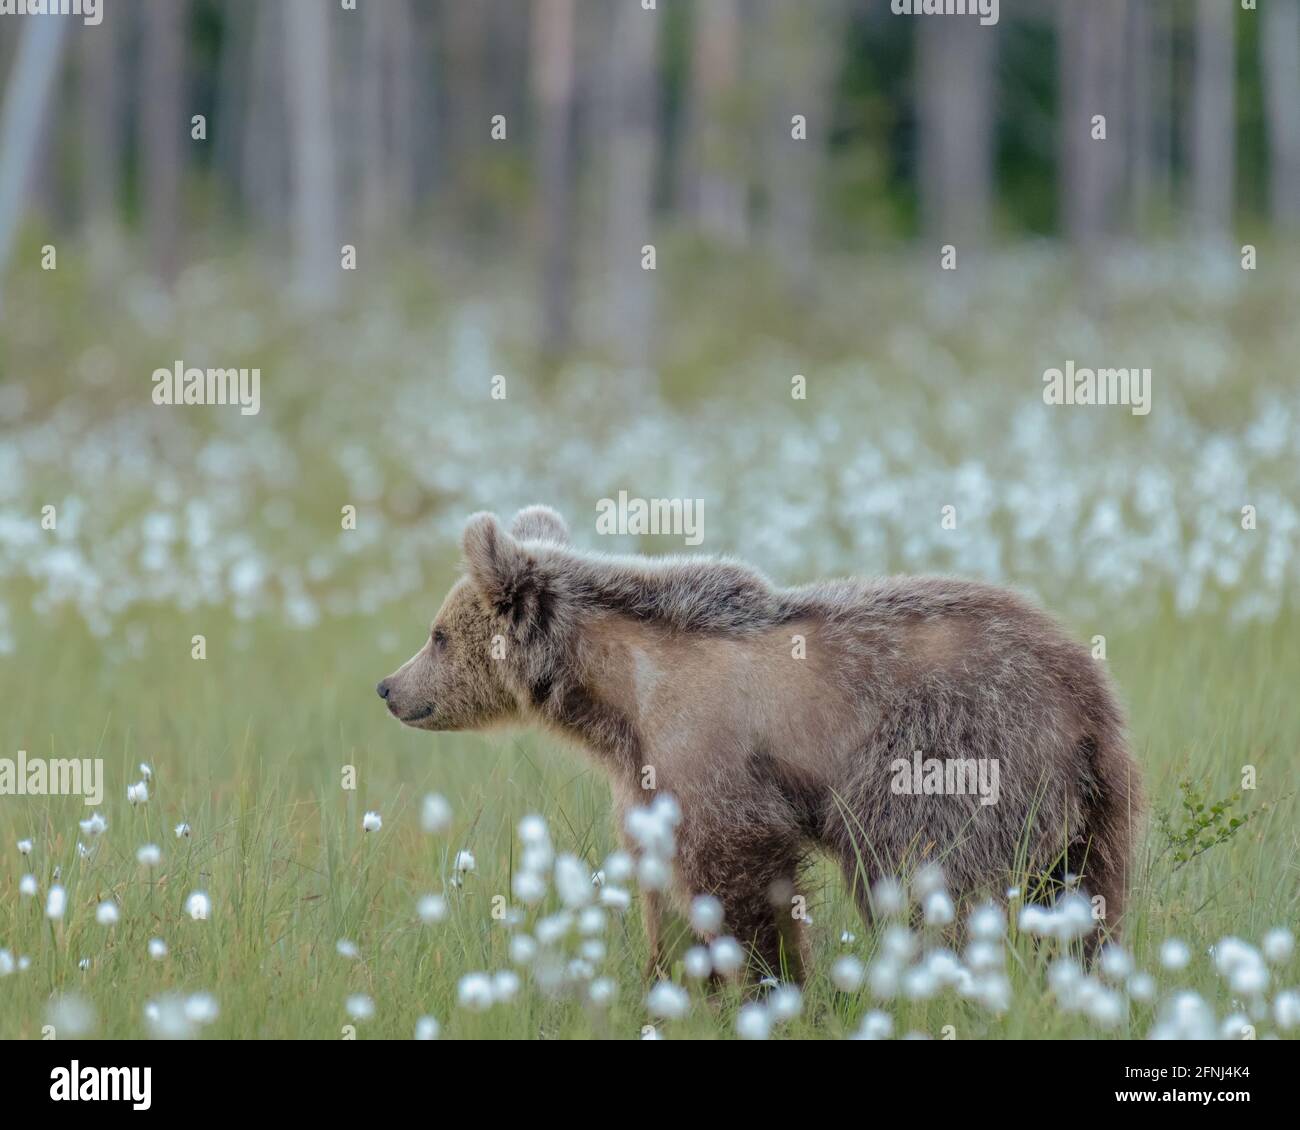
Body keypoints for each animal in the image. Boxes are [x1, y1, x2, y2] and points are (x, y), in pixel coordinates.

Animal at [377, 505, 1144, 979]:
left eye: (437, 634)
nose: (388, 686)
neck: (622, 694)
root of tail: (1082, 688)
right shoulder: (645, 770)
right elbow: (661, 879)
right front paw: (669, 978)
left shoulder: (709, 749)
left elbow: (735, 872)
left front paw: (762, 982)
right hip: (1096, 801)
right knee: (1087, 895)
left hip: (953, 754)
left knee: (928, 879)